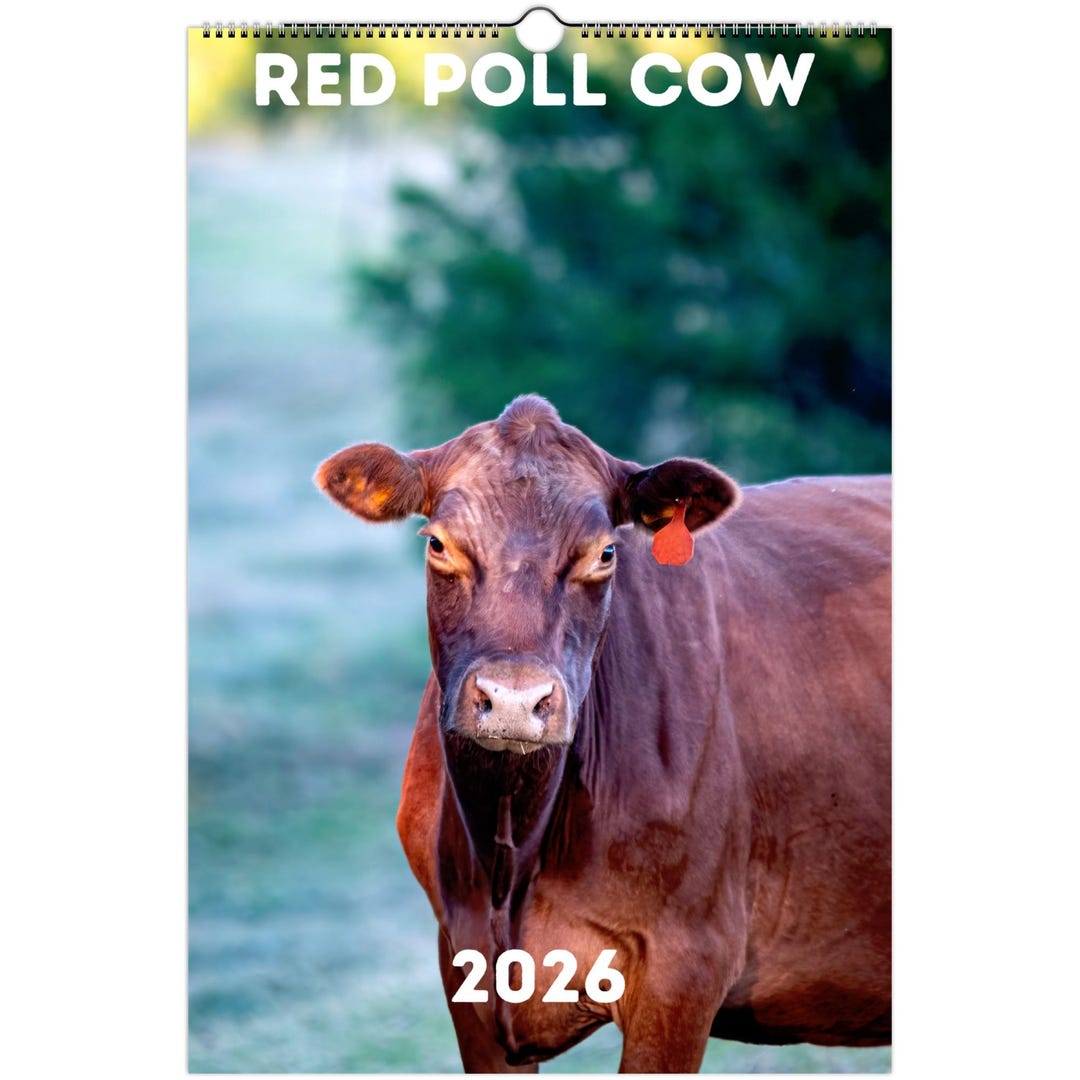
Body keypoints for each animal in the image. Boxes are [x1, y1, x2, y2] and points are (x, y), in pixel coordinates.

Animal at [316, 395, 891, 1073]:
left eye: (606, 553)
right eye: (437, 544)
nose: (514, 701)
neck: (512, 851)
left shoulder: (685, 966)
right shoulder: (462, 965)